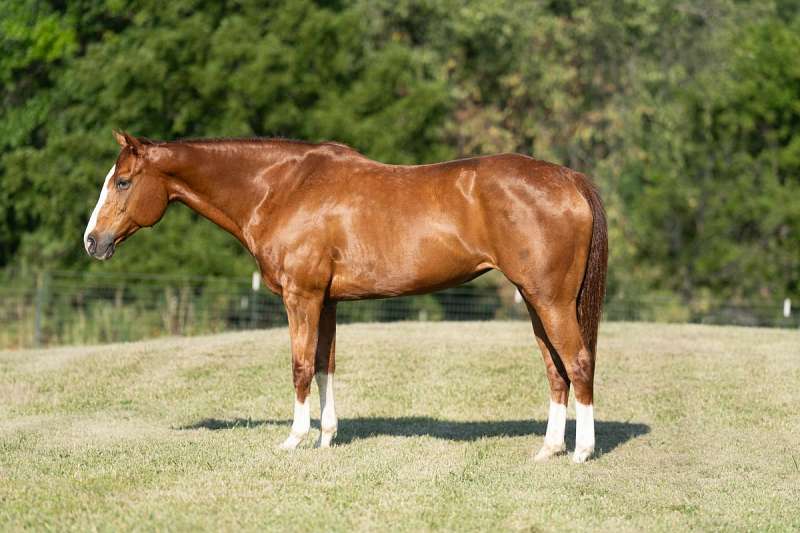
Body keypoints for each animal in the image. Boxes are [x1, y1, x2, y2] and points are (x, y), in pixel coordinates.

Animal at [84, 131, 607, 462]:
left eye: (123, 181)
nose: (92, 241)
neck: (282, 188)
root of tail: (569, 178)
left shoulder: (301, 297)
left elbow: (299, 366)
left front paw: (295, 439)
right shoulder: (327, 301)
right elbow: (324, 366)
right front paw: (326, 438)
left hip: (551, 301)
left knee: (578, 363)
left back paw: (582, 452)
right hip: (536, 301)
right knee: (556, 371)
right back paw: (549, 449)